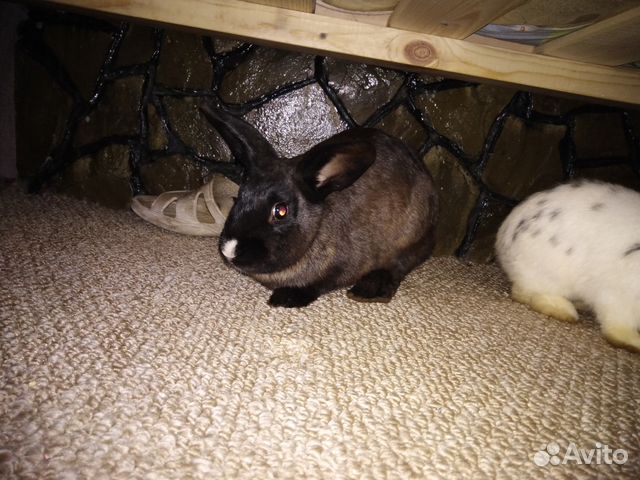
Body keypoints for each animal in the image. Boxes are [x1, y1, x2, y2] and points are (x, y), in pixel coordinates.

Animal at [199, 103, 438, 308]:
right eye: (238, 197)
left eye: (281, 211)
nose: (230, 250)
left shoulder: (343, 267)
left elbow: (320, 285)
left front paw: (285, 298)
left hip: (410, 235)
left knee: (399, 265)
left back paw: (368, 290)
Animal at [495, 180, 640, 352]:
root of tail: (503, 235)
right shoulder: (618, 294)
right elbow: (618, 326)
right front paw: (634, 342)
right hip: (546, 273)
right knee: (528, 293)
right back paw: (564, 311)